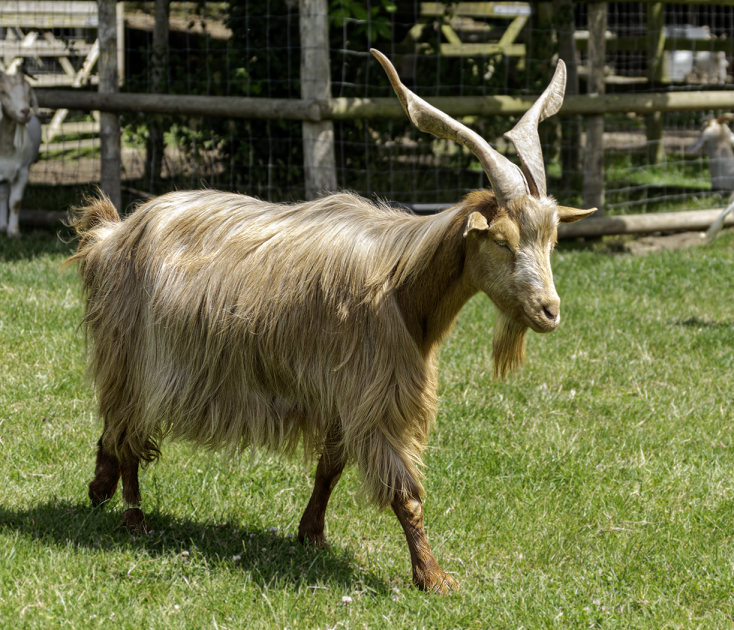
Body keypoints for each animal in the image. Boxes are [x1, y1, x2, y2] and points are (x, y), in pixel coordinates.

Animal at [65, 50, 594, 594]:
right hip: (135, 356)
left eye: (552, 238)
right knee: (129, 430)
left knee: (115, 428)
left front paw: (312, 534)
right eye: (502, 241)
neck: (402, 286)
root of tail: (112, 234)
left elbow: (331, 466)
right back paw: (133, 517)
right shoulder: (375, 391)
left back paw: (100, 486)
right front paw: (433, 577)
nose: (549, 311)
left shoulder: (343, 388)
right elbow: (405, 492)